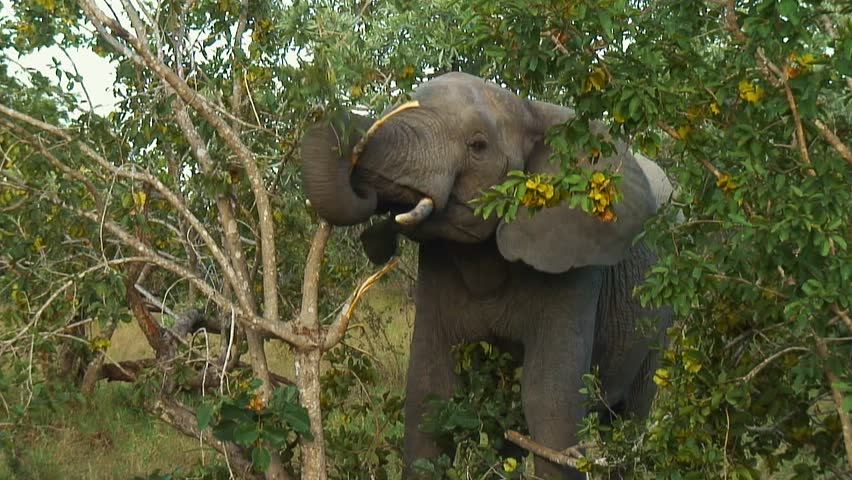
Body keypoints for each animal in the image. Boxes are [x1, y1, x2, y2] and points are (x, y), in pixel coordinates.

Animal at [299, 72, 674, 479]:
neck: (529, 108)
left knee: (630, 414)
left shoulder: (576, 262)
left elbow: (550, 402)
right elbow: (429, 388)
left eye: (477, 145)